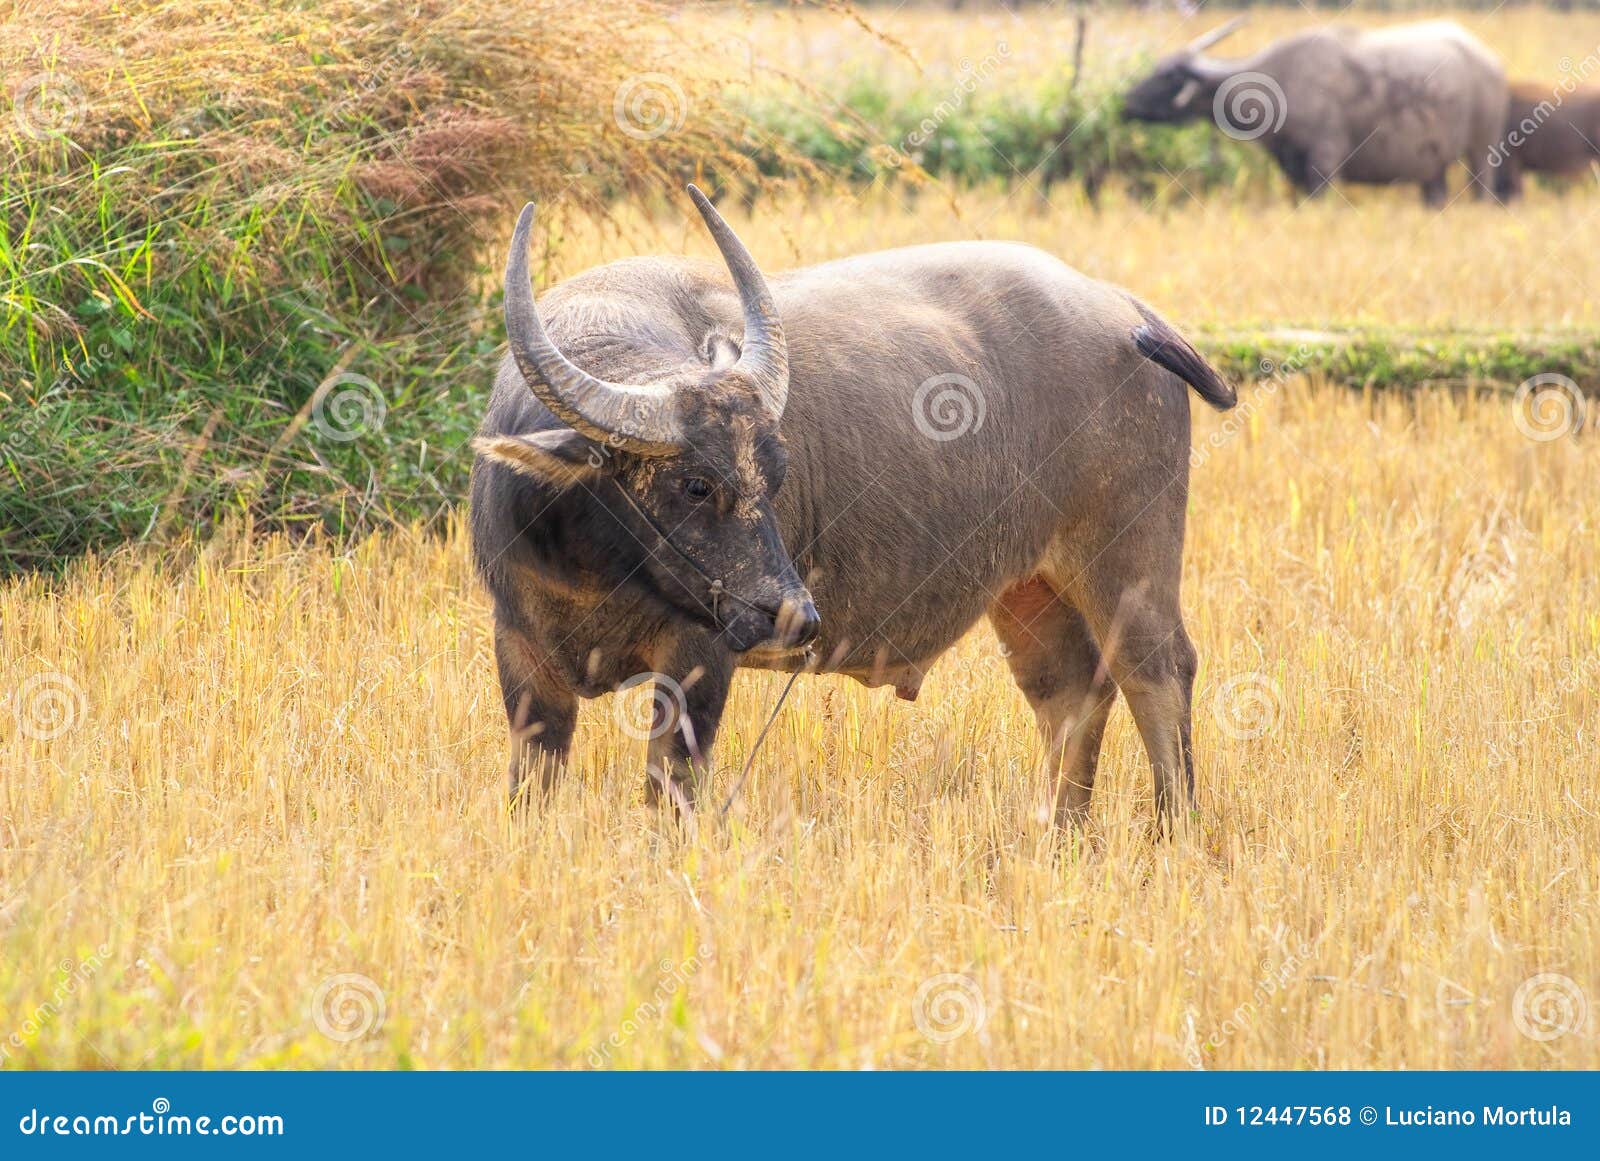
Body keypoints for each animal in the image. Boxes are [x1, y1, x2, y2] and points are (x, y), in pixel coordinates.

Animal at [470, 188, 1235, 830]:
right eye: (695, 485)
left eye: (775, 476)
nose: (794, 616)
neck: (594, 567)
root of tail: (1127, 311)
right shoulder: (522, 654)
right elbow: (529, 787)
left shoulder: (698, 659)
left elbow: (670, 790)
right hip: (1028, 586)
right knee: (1070, 689)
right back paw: (1059, 830)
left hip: (1128, 561)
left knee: (1157, 673)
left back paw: (1173, 830)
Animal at [1122, 19, 1508, 205]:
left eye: (1167, 75)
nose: (1125, 102)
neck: (1280, 81)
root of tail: (1489, 60)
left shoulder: (1323, 164)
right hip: (1433, 169)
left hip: (1481, 151)